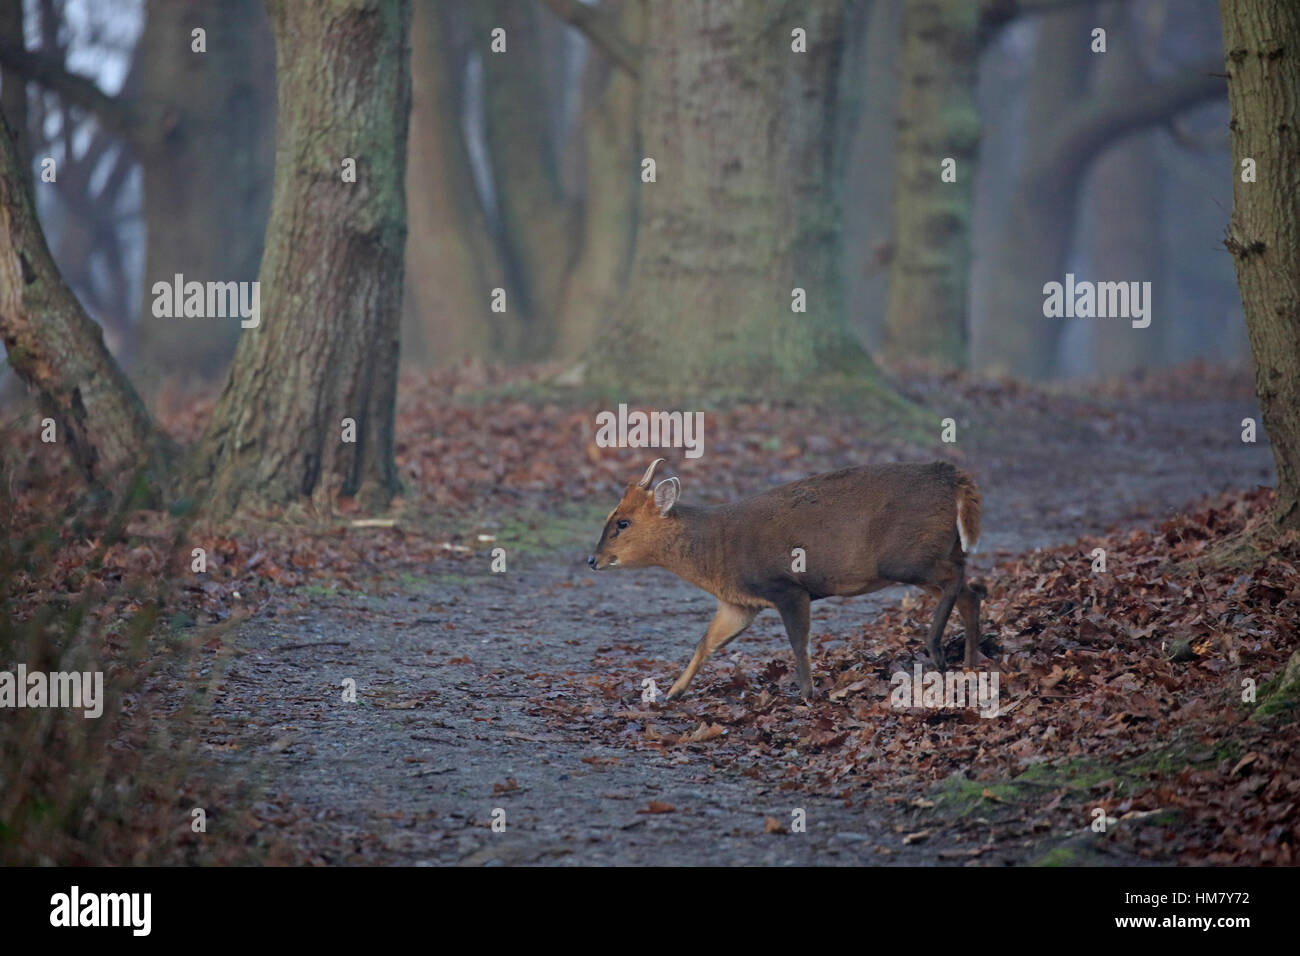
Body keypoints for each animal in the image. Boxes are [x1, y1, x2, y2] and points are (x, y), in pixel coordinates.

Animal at [587, 458, 984, 701]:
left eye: (623, 522)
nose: (592, 560)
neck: (715, 550)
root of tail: (955, 479)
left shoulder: (787, 587)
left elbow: (798, 642)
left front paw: (806, 693)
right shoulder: (740, 603)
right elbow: (705, 643)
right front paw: (672, 692)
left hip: (906, 558)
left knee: (960, 580)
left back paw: (936, 649)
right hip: (935, 552)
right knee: (971, 590)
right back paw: (968, 664)